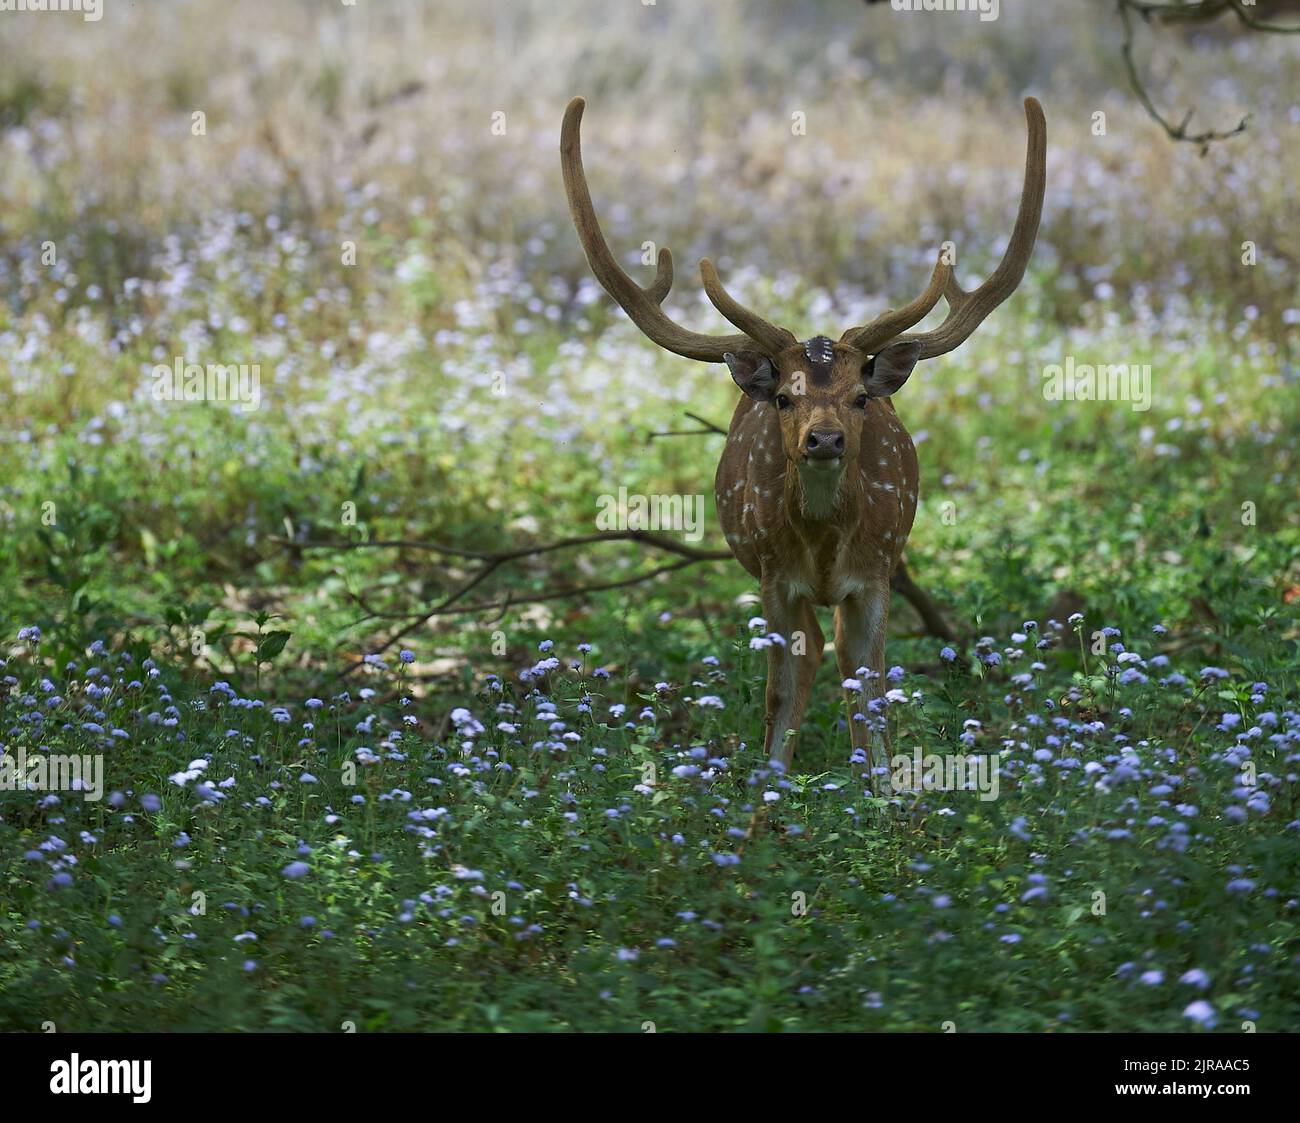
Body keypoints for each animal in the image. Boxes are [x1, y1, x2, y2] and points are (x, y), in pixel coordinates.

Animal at [560, 95, 1046, 778]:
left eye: (860, 397)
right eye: (785, 399)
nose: (824, 441)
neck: (822, 546)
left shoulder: (876, 571)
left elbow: (870, 682)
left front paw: (879, 790)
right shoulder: (771, 572)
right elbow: (782, 686)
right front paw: (769, 790)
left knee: (839, 653)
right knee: (812, 651)